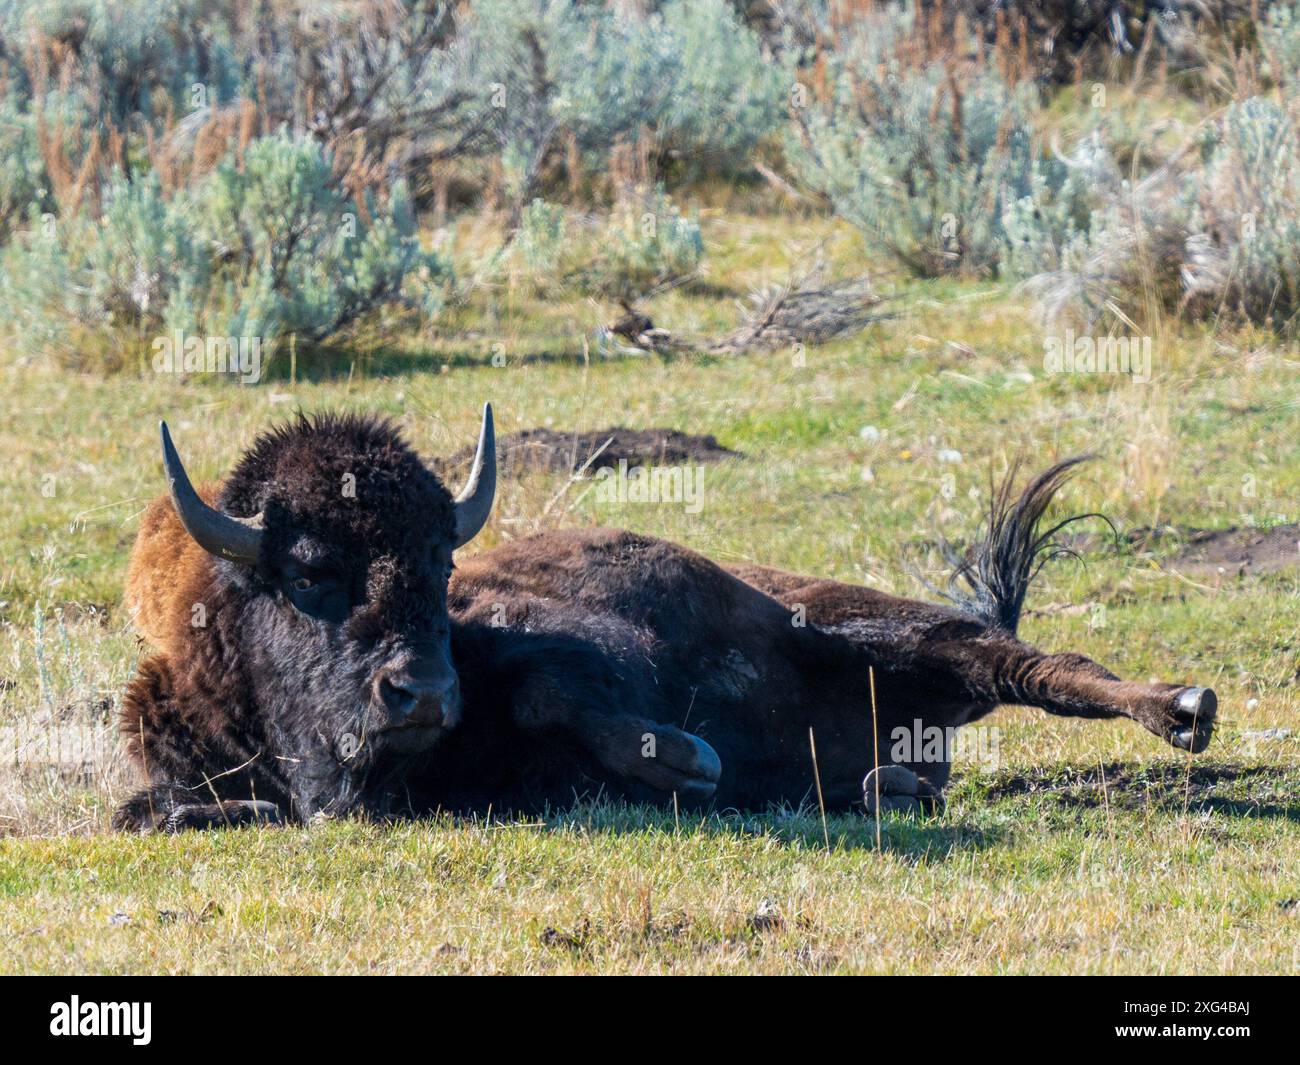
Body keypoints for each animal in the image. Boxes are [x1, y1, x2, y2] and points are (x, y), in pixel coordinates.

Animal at [114, 409, 1216, 830]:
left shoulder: (556, 646)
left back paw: (1183, 709)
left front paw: (689, 761)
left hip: (891, 633)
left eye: (443, 563)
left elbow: (558, 694)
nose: (419, 692)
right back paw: (879, 785)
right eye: (307, 569)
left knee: (1041, 665)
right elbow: (146, 811)